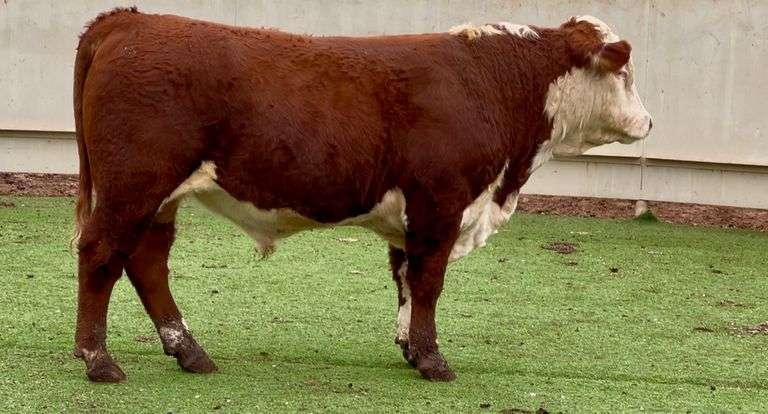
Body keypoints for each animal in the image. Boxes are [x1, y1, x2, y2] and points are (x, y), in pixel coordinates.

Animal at [72, 7, 651, 382]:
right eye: (624, 70)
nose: (648, 121)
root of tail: (131, 19)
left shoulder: (413, 216)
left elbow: (405, 279)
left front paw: (410, 349)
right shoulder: (441, 204)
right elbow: (429, 283)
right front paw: (433, 360)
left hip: (156, 197)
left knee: (147, 263)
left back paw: (189, 352)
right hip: (134, 184)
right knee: (100, 254)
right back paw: (99, 359)